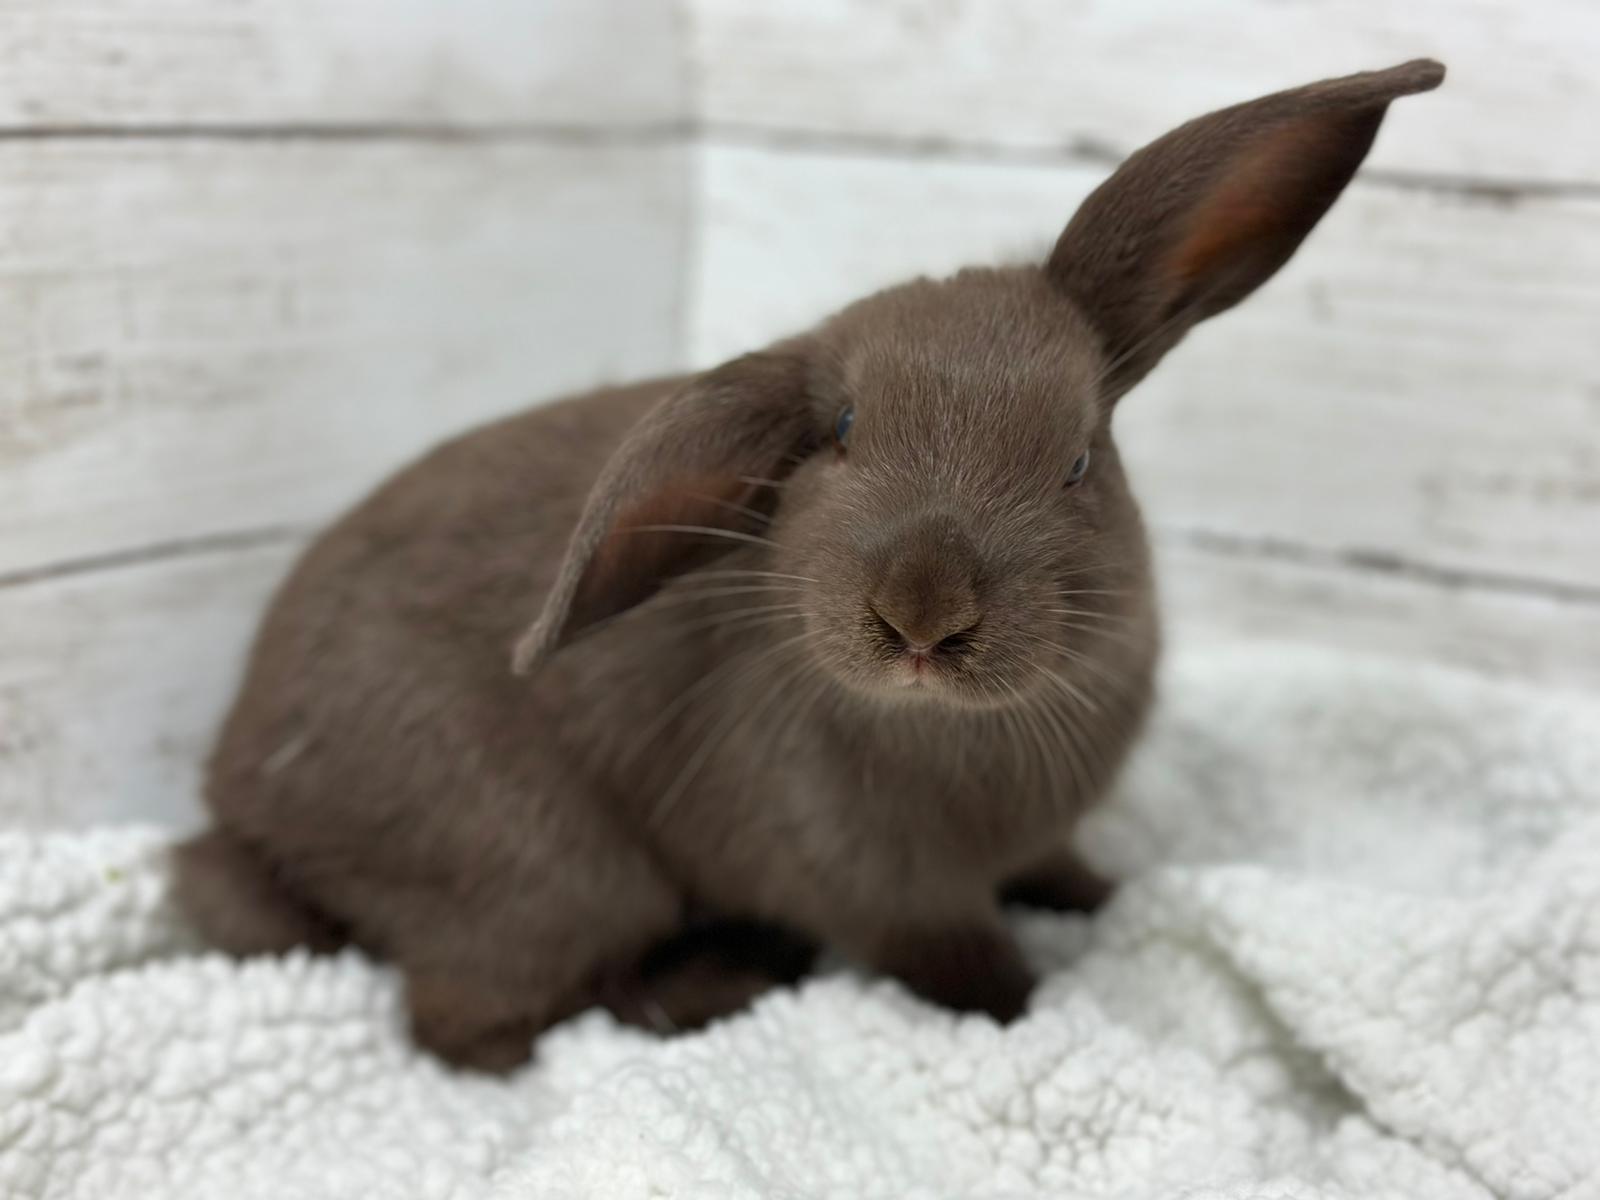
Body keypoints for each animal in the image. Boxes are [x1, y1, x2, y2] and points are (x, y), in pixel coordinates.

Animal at [175, 60, 1445, 1071]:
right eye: (837, 433)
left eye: (1080, 458)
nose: (923, 614)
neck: (951, 733)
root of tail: (241, 800)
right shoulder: (894, 899)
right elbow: (971, 969)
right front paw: (1031, 1004)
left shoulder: (1031, 837)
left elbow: (1066, 869)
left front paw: (1103, 897)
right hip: (547, 873)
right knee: (466, 1022)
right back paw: (693, 993)